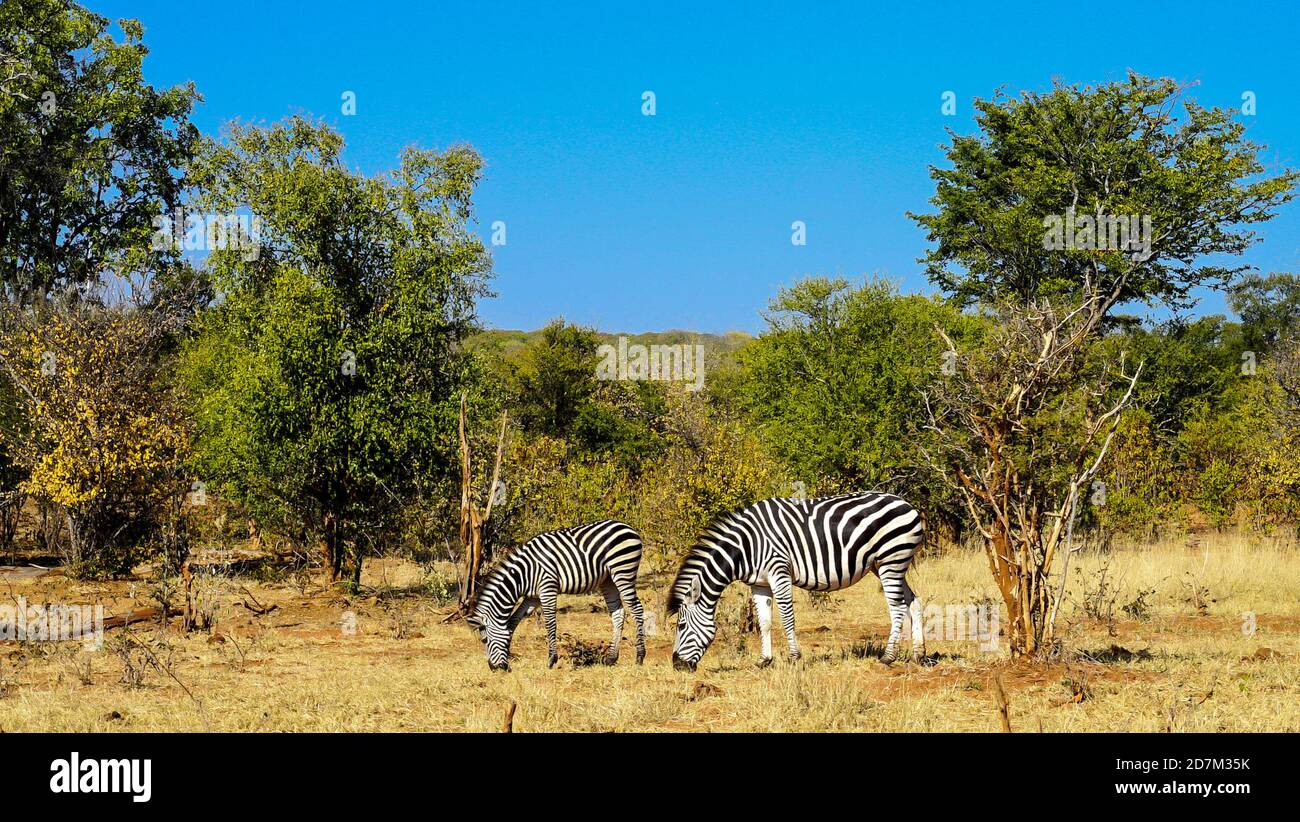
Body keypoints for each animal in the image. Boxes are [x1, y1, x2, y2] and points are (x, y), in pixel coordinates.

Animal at [466, 520, 646, 672]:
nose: (493, 668)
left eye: (485, 640)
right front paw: (508, 653)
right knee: (618, 613)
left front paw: (551, 659)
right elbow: (513, 622)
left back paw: (639, 657)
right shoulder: (532, 597)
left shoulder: (548, 588)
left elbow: (550, 623)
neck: (523, 574)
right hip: (608, 579)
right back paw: (611, 658)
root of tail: (628, 527)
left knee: (636, 609)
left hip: (623, 570)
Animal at [666, 492, 926, 671]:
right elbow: (765, 622)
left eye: (681, 626)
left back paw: (888, 657)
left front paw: (794, 658)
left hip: (891, 560)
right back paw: (919, 654)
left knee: (897, 608)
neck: (746, 547)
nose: (676, 666)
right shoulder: (759, 583)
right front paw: (764, 660)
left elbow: (787, 618)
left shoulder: (778, 571)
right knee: (913, 602)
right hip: (885, 565)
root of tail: (907, 504)